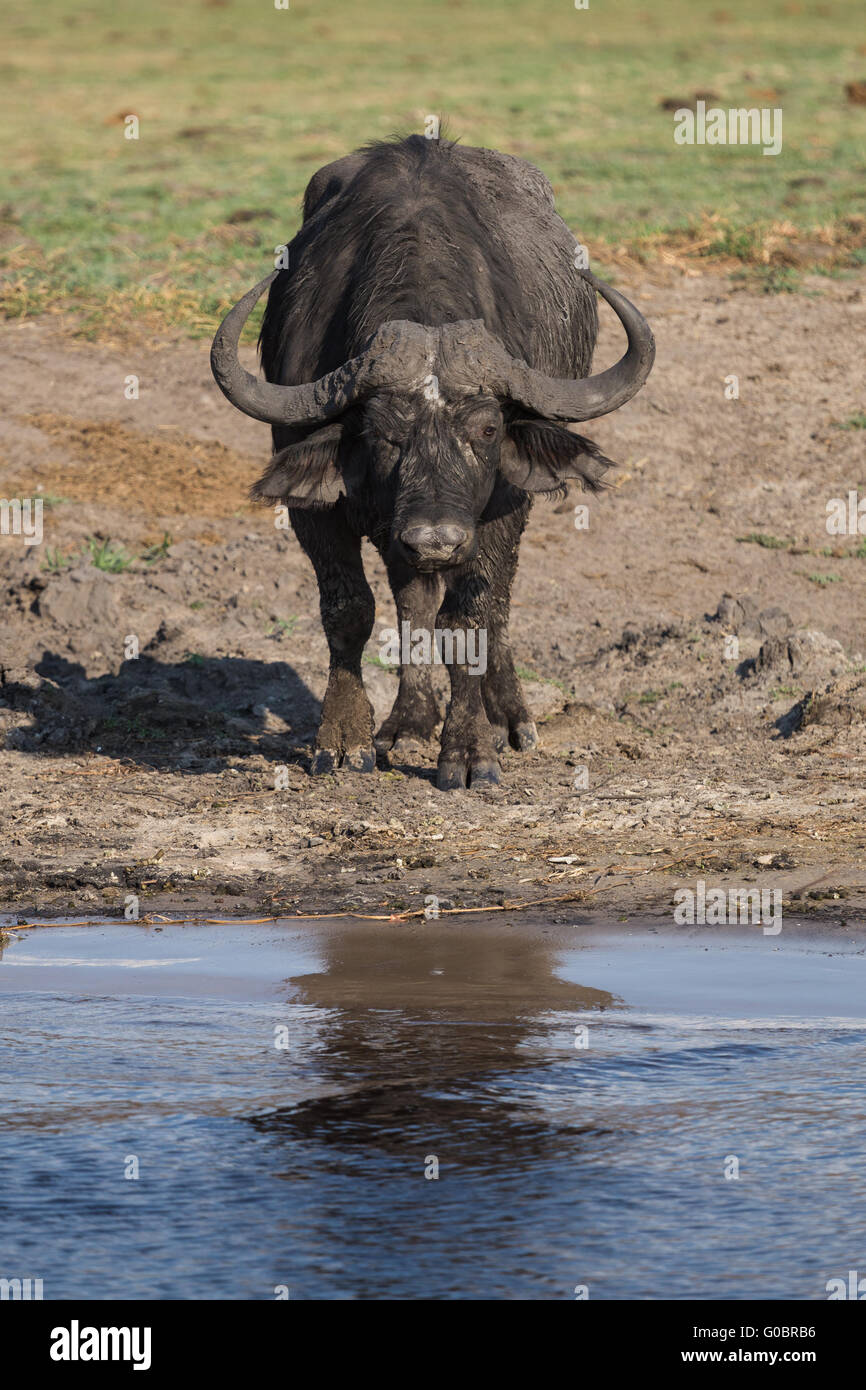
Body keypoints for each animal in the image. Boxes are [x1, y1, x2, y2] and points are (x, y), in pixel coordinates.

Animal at [211, 134, 654, 789]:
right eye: (382, 434)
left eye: (488, 429)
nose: (437, 539)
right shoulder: (317, 510)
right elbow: (350, 610)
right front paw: (345, 738)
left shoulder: (499, 508)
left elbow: (468, 618)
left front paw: (469, 750)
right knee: (412, 597)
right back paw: (408, 721)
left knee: (494, 601)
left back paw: (510, 716)